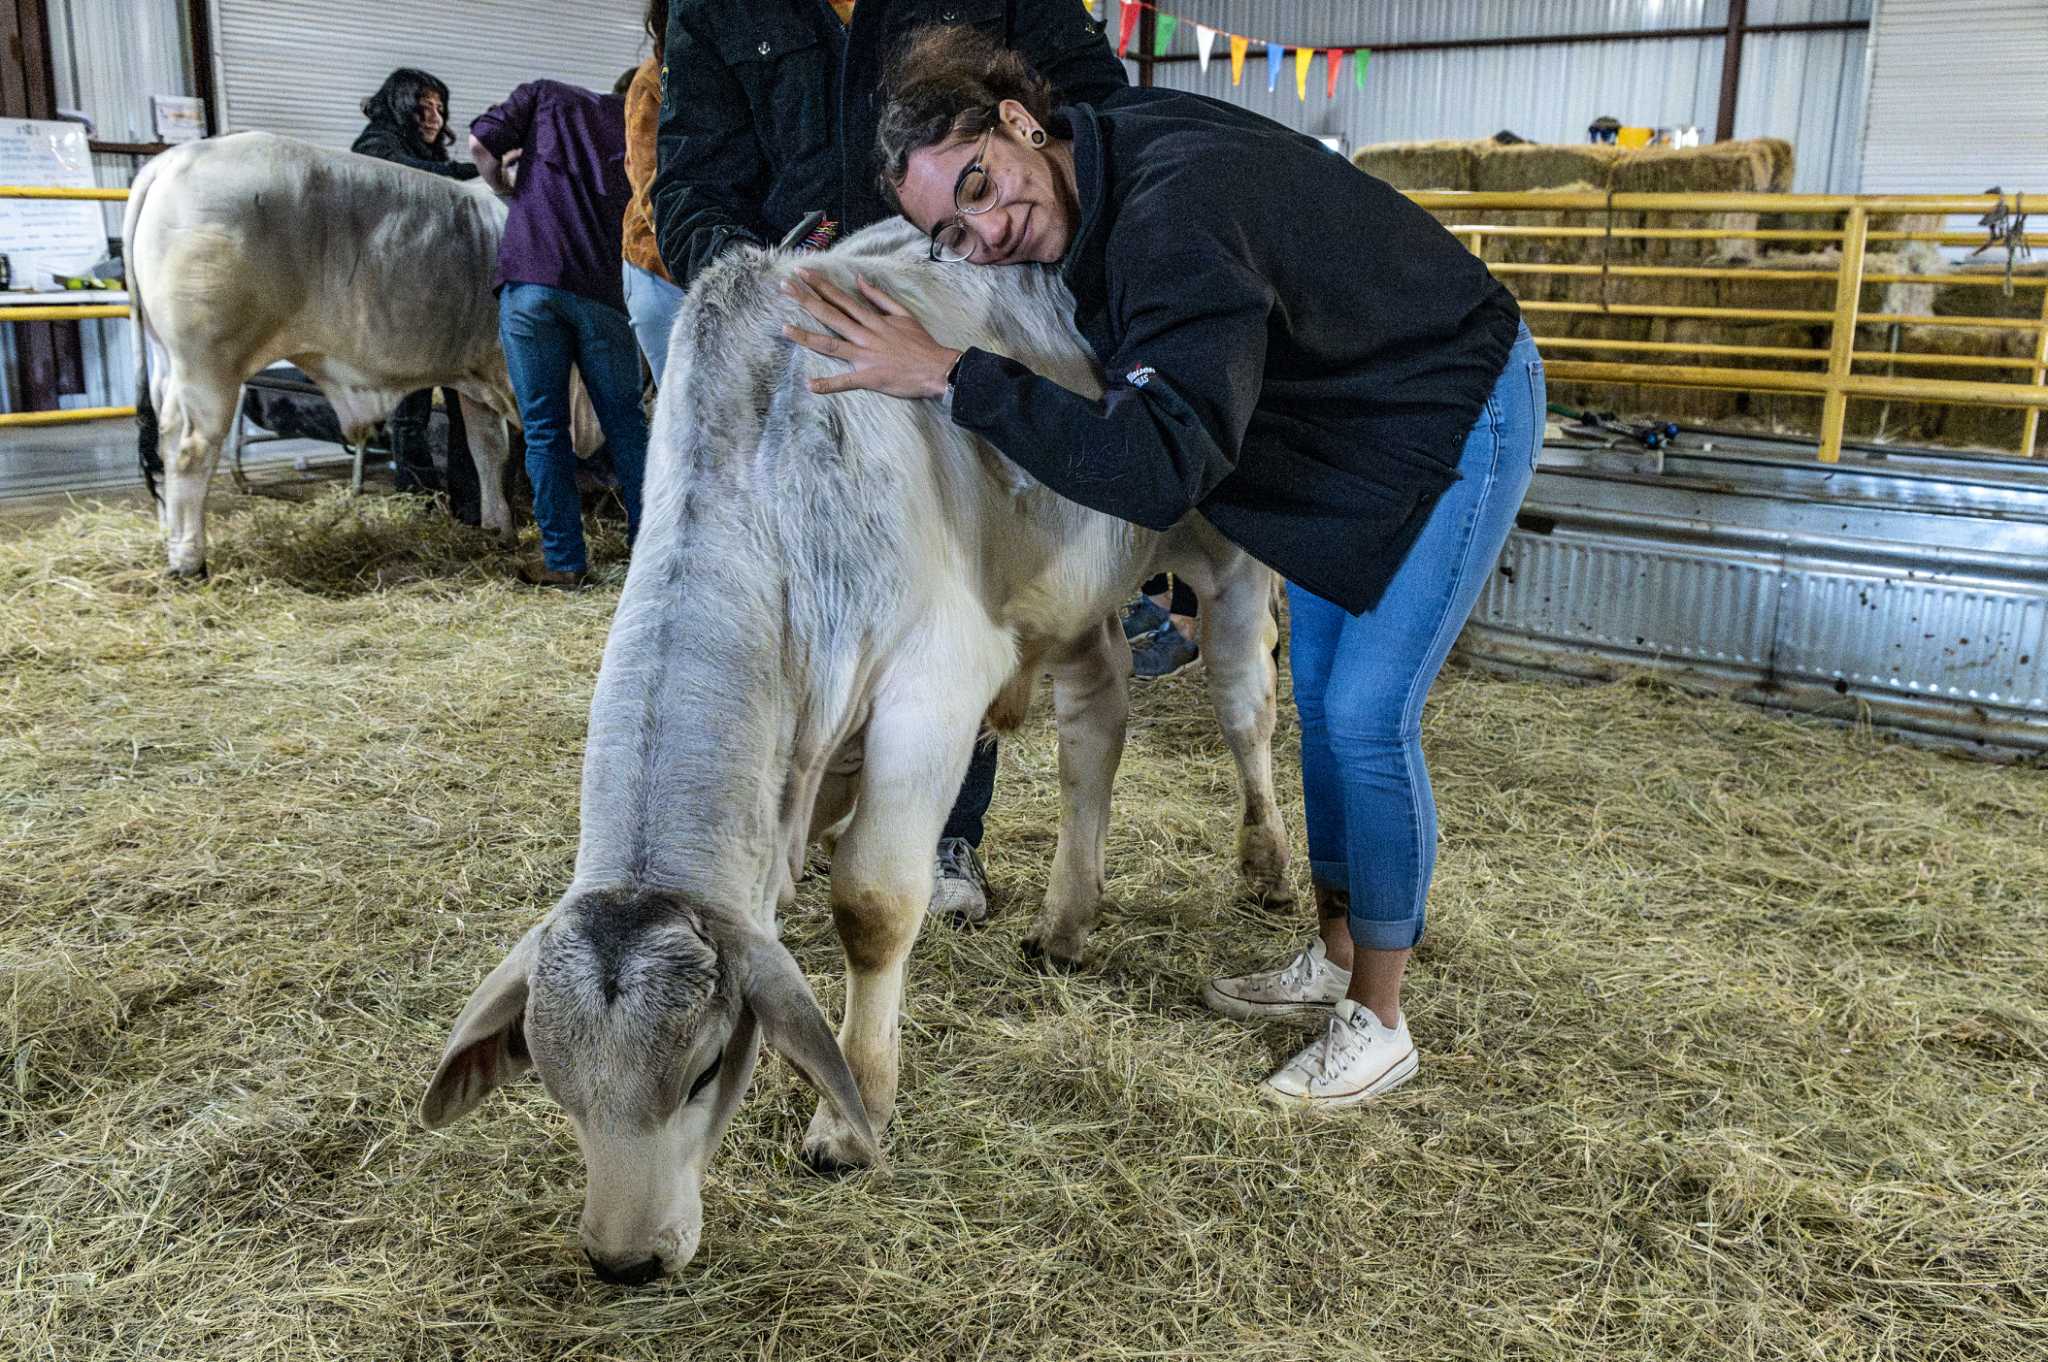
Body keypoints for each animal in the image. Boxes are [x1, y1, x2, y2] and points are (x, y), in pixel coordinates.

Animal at [125, 132, 599, 578]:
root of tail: (175, 159)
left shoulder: (476, 378)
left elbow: (488, 452)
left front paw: (499, 528)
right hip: (209, 366)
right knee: (190, 451)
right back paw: (189, 561)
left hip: (169, 366)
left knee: (165, 441)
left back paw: (169, 539)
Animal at [418, 219, 1293, 1283]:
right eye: (552, 1082)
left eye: (704, 1070)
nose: (626, 1260)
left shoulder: (934, 685)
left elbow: (873, 905)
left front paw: (855, 1110)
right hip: (1075, 587)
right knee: (1098, 719)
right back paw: (1066, 917)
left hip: (1226, 554)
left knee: (1244, 704)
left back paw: (1267, 862)